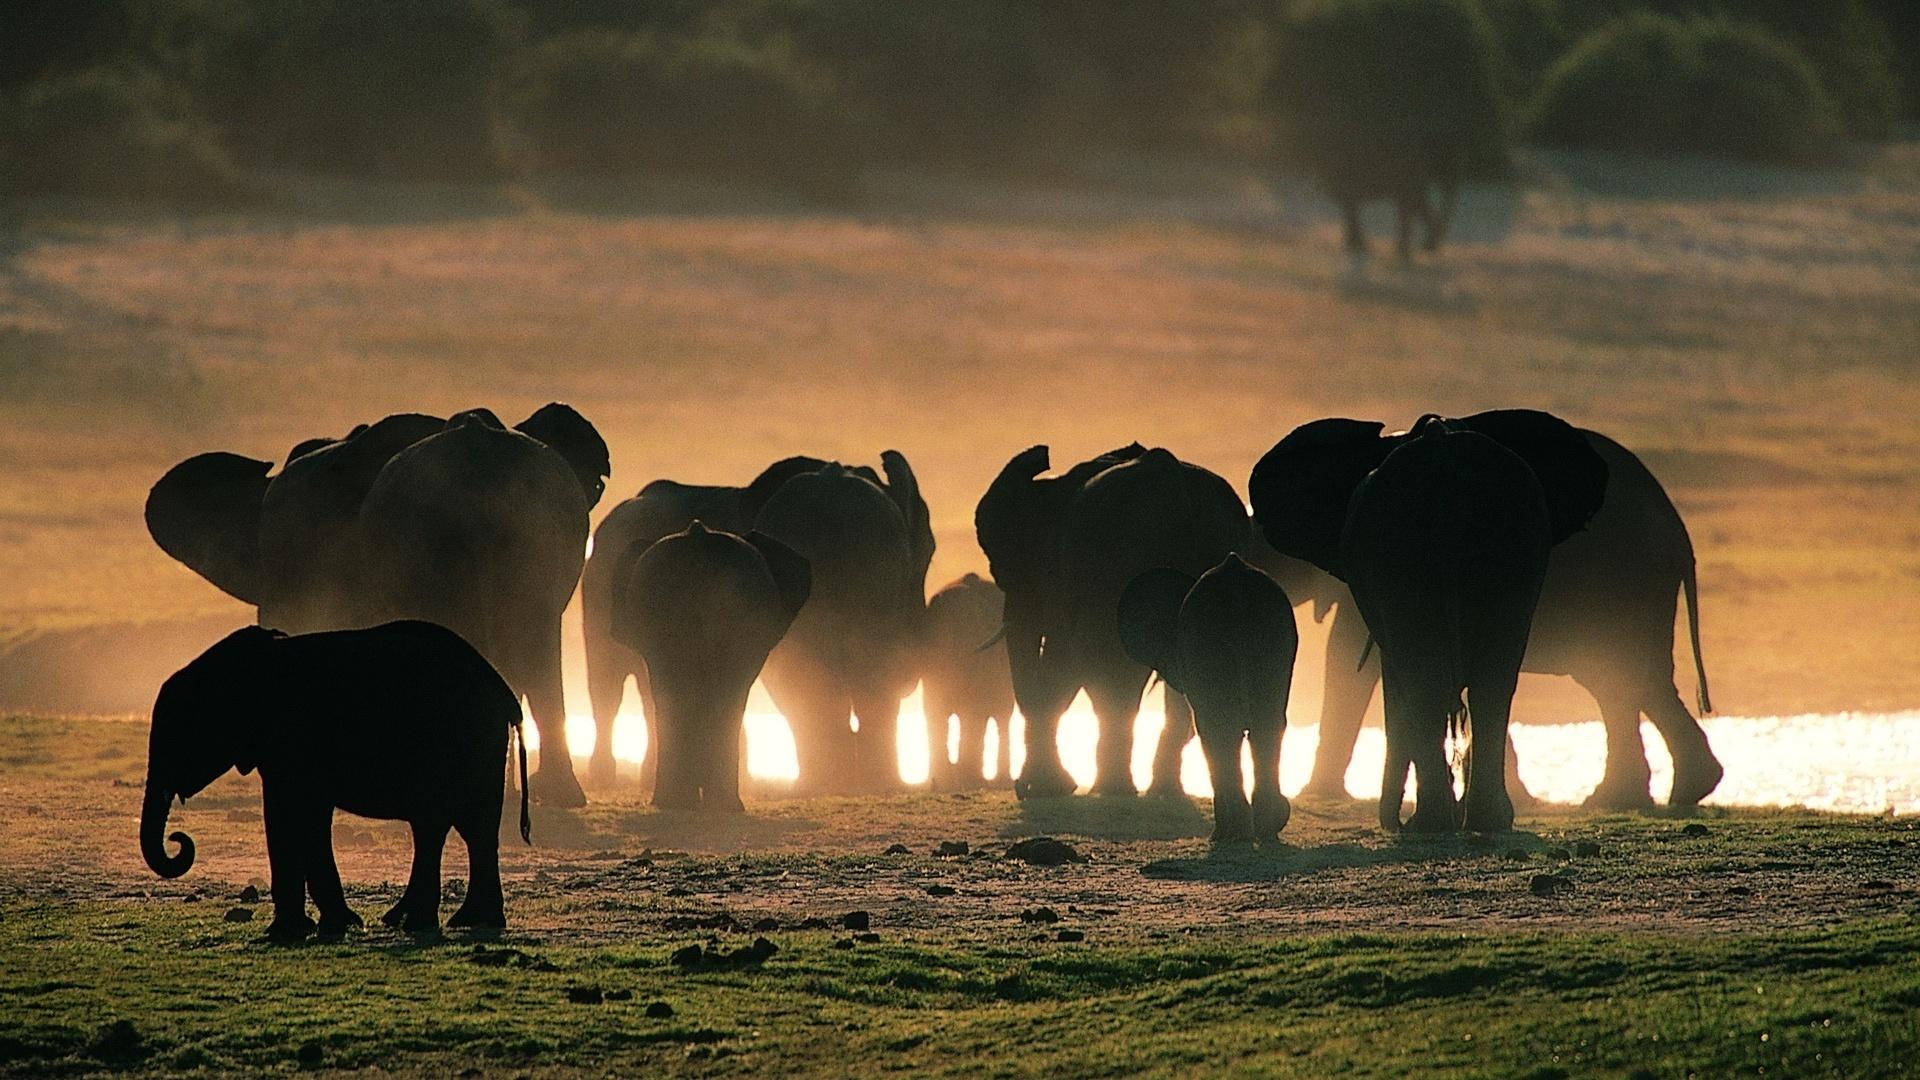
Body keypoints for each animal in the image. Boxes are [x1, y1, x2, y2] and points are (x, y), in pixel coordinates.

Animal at [140, 621, 529, 938]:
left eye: (180, 732)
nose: (179, 839)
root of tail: (504, 692)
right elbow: (297, 816)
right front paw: (317, 927)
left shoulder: (295, 740)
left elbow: (296, 814)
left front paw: (304, 929)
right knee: (472, 829)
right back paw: (465, 921)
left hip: (454, 743)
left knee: (437, 826)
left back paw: (422, 922)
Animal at [976, 444, 1250, 799]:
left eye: (1002, 571)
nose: (1020, 789)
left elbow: (1064, 660)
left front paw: (1047, 789)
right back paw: (1157, 791)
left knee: (1105, 663)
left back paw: (1114, 789)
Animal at [1118, 554, 1298, 841]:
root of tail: (1234, 577)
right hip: (1275, 638)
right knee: (1266, 724)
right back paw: (1264, 827)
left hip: (1207, 641)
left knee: (1219, 728)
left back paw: (1233, 832)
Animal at [1251, 410, 1609, 833]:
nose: (1391, 822)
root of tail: (1445, 473)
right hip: (1498, 551)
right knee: (1487, 682)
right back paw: (1477, 821)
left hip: (1410, 555)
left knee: (1435, 681)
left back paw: (1434, 823)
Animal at [1281, 428, 1722, 810]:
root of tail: (1679, 533)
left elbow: (1347, 660)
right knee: (1635, 679)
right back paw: (1678, 790)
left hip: (1625, 585)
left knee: (1617, 677)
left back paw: (1619, 799)